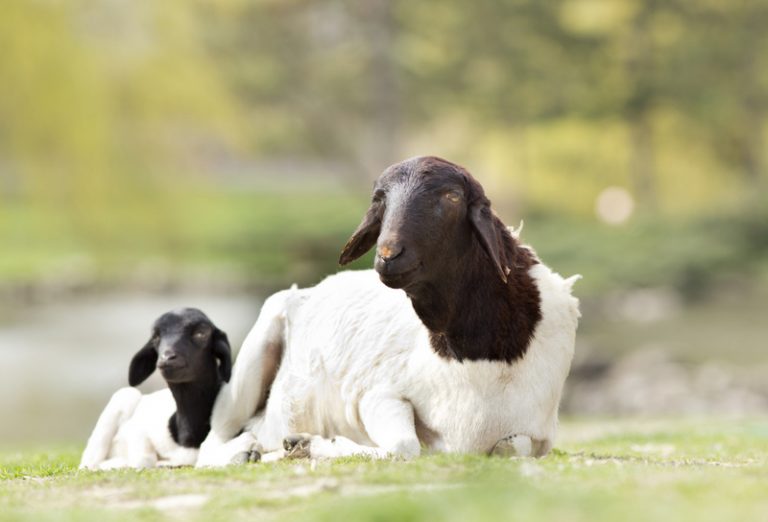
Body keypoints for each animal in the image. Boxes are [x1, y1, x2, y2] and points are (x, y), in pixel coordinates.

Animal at [79, 308, 241, 470]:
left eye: (201, 333)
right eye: (156, 337)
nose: (167, 358)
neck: (187, 434)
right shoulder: (138, 429)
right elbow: (144, 458)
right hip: (123, 397)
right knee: (89, 463)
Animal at [196, 156, 581, 467]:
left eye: (452, 196)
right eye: (380, 200)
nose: (388, 255)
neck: (478, 357)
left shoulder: (539, 435)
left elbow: (514, 447)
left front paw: (303, 445)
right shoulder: (378, 395)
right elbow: (404, 446)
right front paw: (308, 444)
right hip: (246, 371)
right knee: (211, 443)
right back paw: (244, 451)